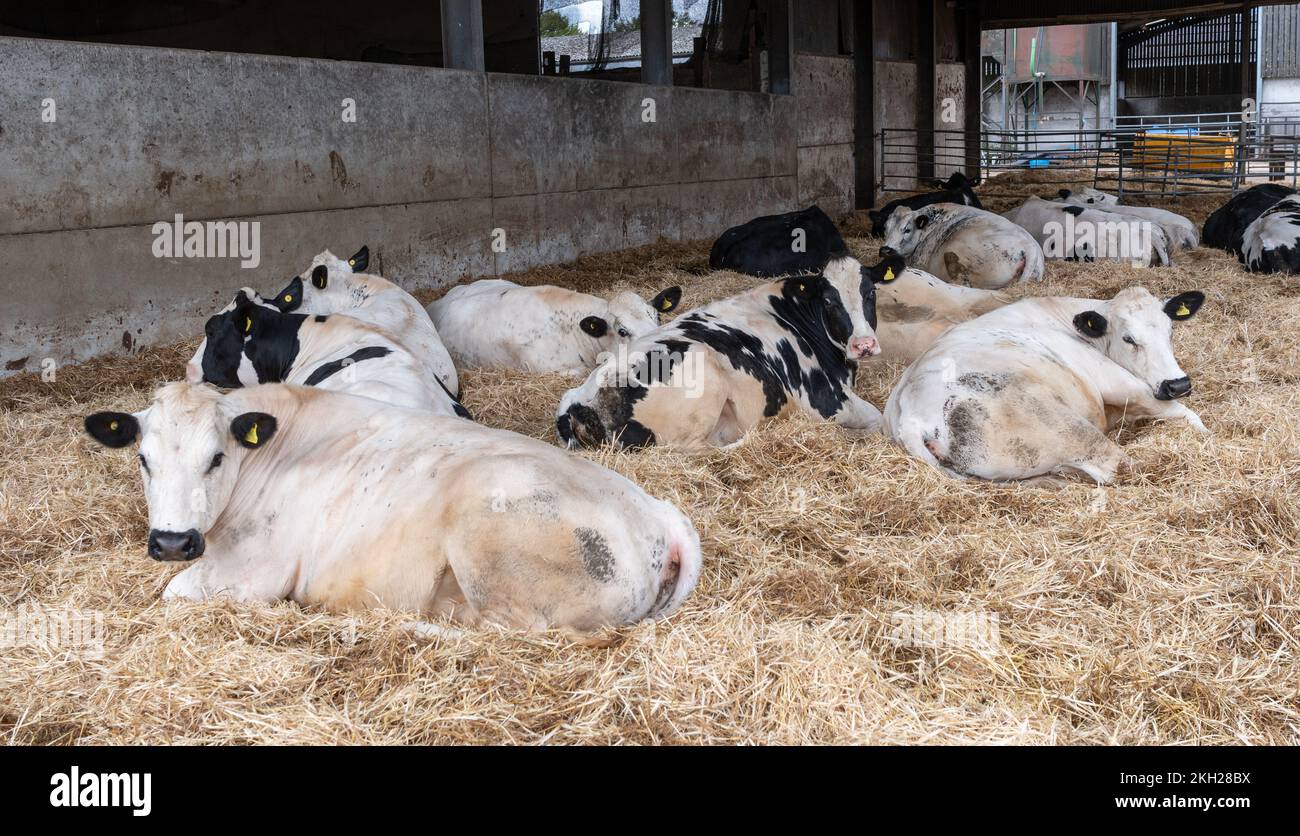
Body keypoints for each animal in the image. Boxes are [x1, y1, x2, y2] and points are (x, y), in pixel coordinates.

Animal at [82, 382, 701, 632]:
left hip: (492, 538)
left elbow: (174, 593)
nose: (171, 541)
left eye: (215, 457)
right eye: (143, 458)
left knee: (513, 632)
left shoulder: (260, 569)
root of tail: (660, 512)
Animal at [555, 254, 906, 449]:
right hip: (704, 383)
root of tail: (582, 400)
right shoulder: (827, 401)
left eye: (870, 293)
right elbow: (878, 419)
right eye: (829, 300)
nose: (864, 345)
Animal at [883, 286, 1207, 484]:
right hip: (1065, 426)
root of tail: (911, 412)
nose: (1178, 384)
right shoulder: (1120, 383)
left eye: (1170, 330)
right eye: (1129, 339)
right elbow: (1187, 414)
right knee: (1118, 466)